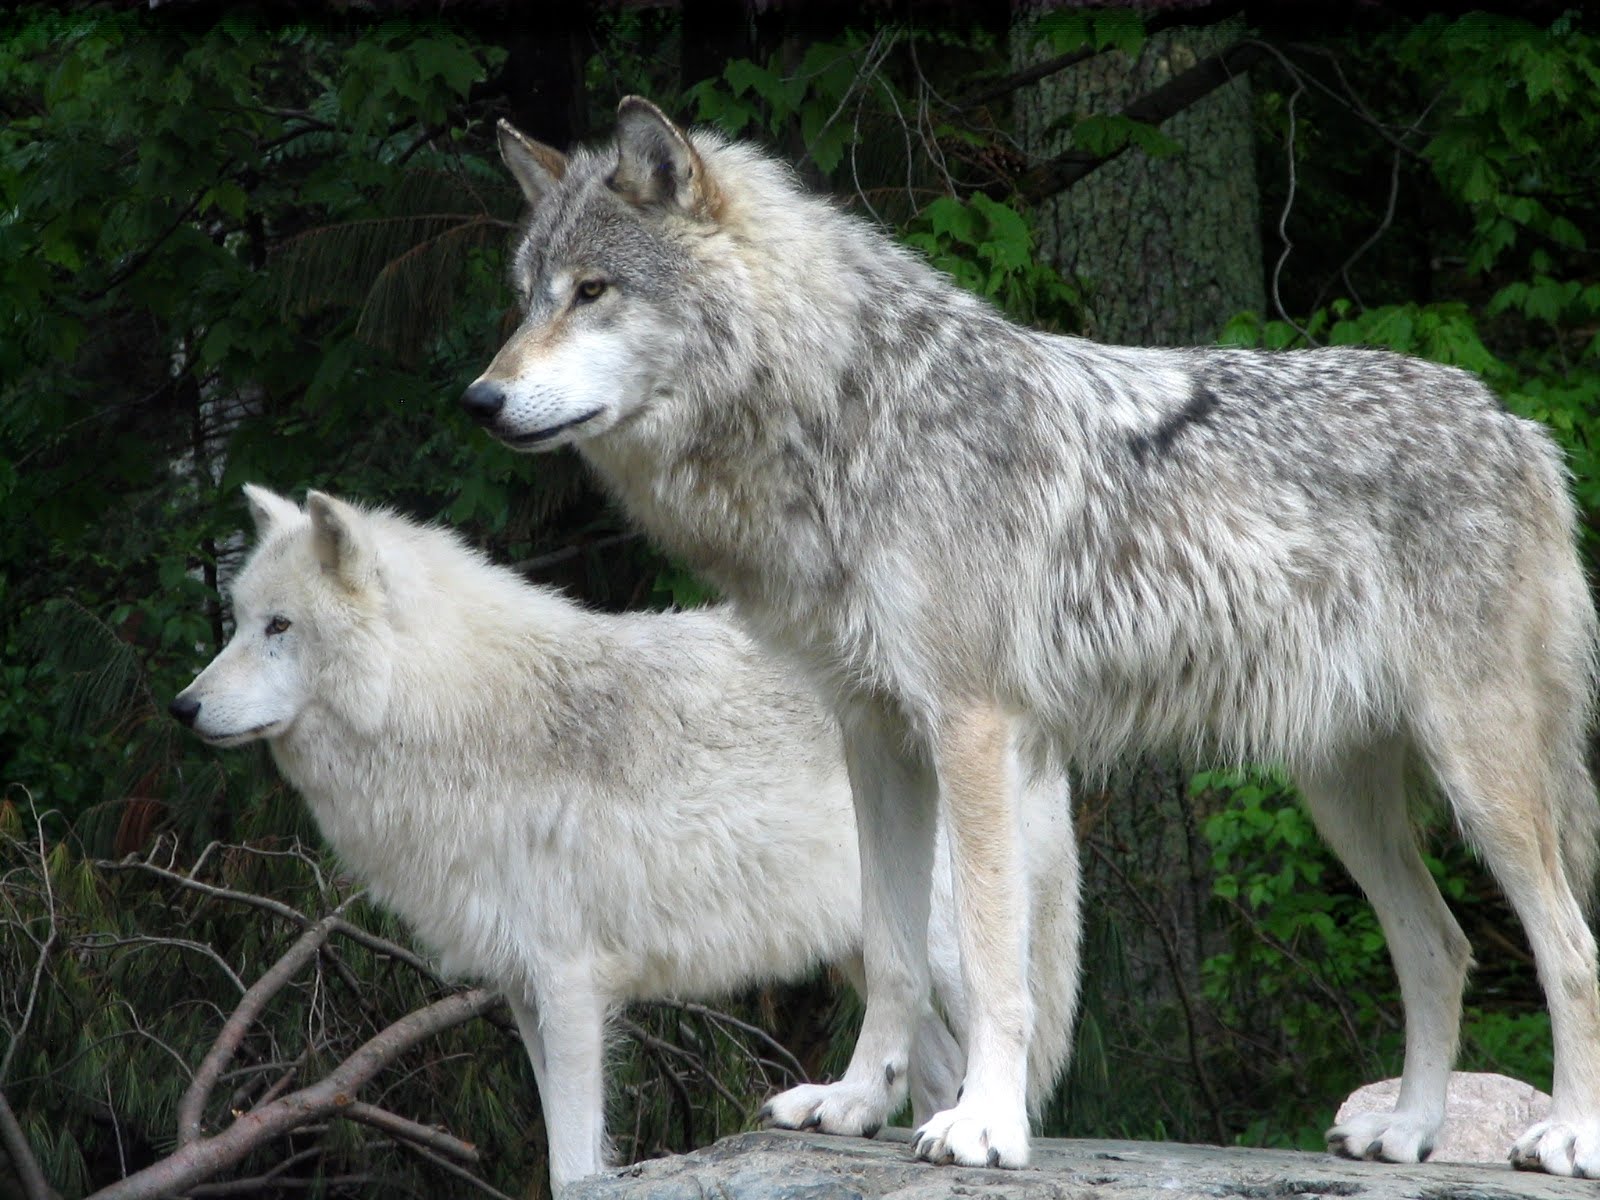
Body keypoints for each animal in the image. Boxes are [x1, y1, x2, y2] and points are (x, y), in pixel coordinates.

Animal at [169, 486, 1078, 1192]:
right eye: (238, 622)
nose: (183, 707)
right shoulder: (522, 990)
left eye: (279, 627)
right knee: (924, 1068)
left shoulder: (571, 986)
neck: (450, 715)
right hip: (871, 955)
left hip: (951, 952)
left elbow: (575, 1162)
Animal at [457, 97, 1600, 1177]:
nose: (480, 398)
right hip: (1344, 793)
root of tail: (1515, 426)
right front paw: (856, 1105)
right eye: (526, 295)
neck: (852, 420)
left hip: (1479, 778)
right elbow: (891, 954)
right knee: (1440, 947)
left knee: (1571, 949)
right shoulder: (877, 739)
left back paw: (1566, 1140)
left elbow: (992, 962)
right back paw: (1407, 1132)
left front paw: (983, 1127)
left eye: (593, 291)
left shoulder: (973, 731)